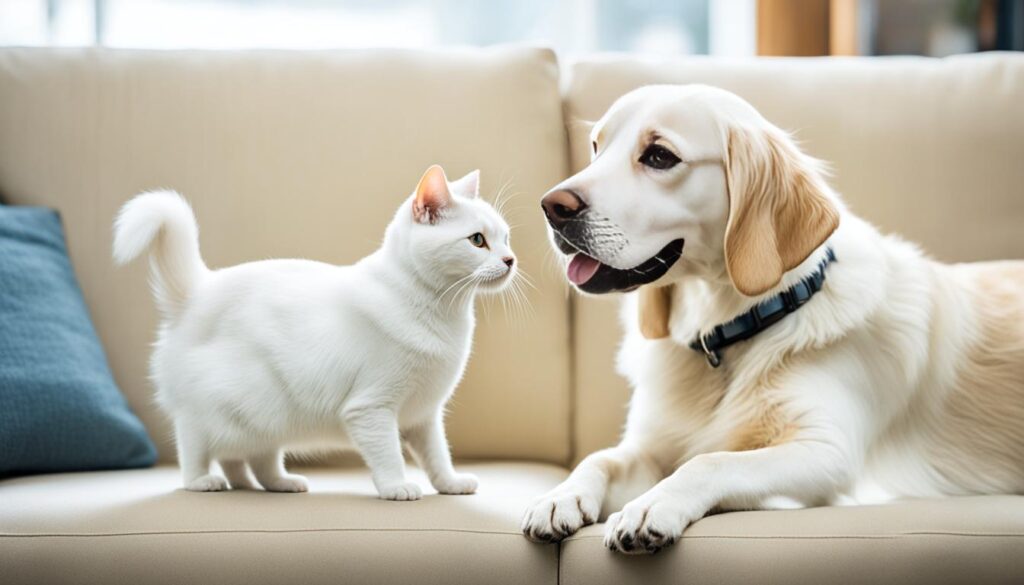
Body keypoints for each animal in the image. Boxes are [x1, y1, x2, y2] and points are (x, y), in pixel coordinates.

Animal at [113, 164, 516, 499]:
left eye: (506, 238)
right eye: (477, 240)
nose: (510, 260)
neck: (445, 314)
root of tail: (196, 292)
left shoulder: (425, 415)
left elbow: (437, 454)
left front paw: (449, 483)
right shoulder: (371, 409)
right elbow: (389, 454)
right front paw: (396, 486)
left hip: (262, 419)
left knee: (247, 459)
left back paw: (274, 483)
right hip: (210, 411)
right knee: (196, 446)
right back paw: (202, 481)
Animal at [524, 83, 1024, 553]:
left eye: (660, 156)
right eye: (596, 147)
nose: (552, 207)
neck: (728, 335)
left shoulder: (829, 455)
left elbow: (710, 460)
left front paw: (651, 505)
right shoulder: (651, 446)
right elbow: (601, 458)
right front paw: (559, 496)